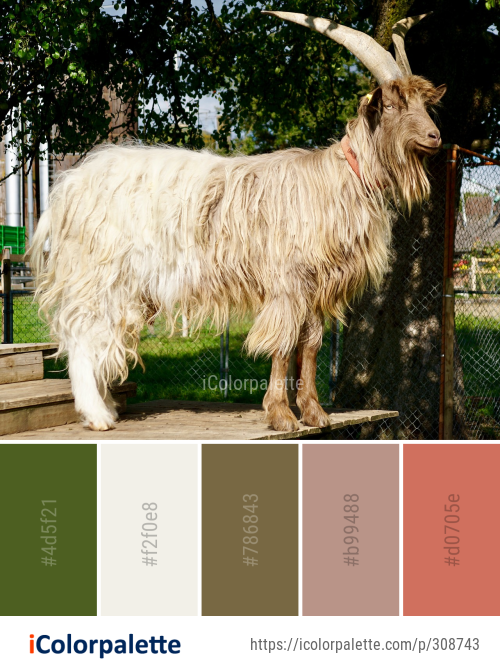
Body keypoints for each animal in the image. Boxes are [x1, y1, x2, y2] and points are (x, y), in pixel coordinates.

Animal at [31, 11, 445, 432]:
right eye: (391, 105)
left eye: (424, 103)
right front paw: (281, 415)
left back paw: (107, 407)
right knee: (82, 334)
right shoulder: (287, 281)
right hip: (98, 273)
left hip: (126, 285)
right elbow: (283, 343)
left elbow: (310, 343)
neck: (338, 178)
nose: (435, 136)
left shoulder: (316, 286)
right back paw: (97, 415)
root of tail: (67, 187)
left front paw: (314, 412)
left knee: (100, 335)